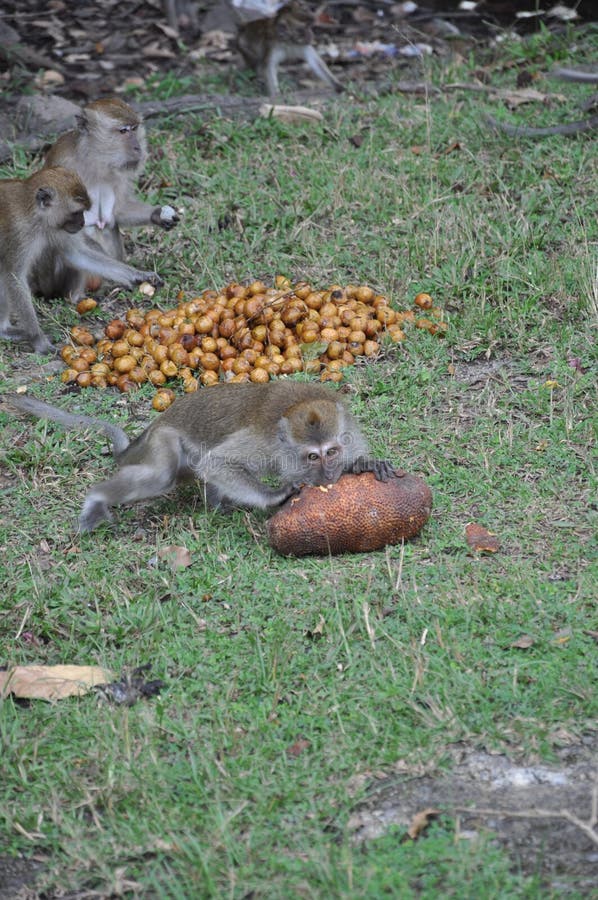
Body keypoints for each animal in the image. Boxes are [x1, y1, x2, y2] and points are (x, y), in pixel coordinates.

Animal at [9, 381, 397, 532]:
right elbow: (219, 462)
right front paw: (278, 496)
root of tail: (157, 422)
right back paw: (97, 499)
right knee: (162, 475)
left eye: (332, 452)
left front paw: (362, 464)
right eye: (313, 457)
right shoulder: (265, 444)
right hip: (165, 440)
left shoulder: (349, 429)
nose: (330, 473)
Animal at [35, 97, 178, 300]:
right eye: (123, 131)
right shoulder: (64, 167)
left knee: (109, 226)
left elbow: (118, 211)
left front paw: (159, 214)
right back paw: (77, 298)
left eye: (134, 128)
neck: (94, 160)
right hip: (51, 280)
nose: (138, 148)